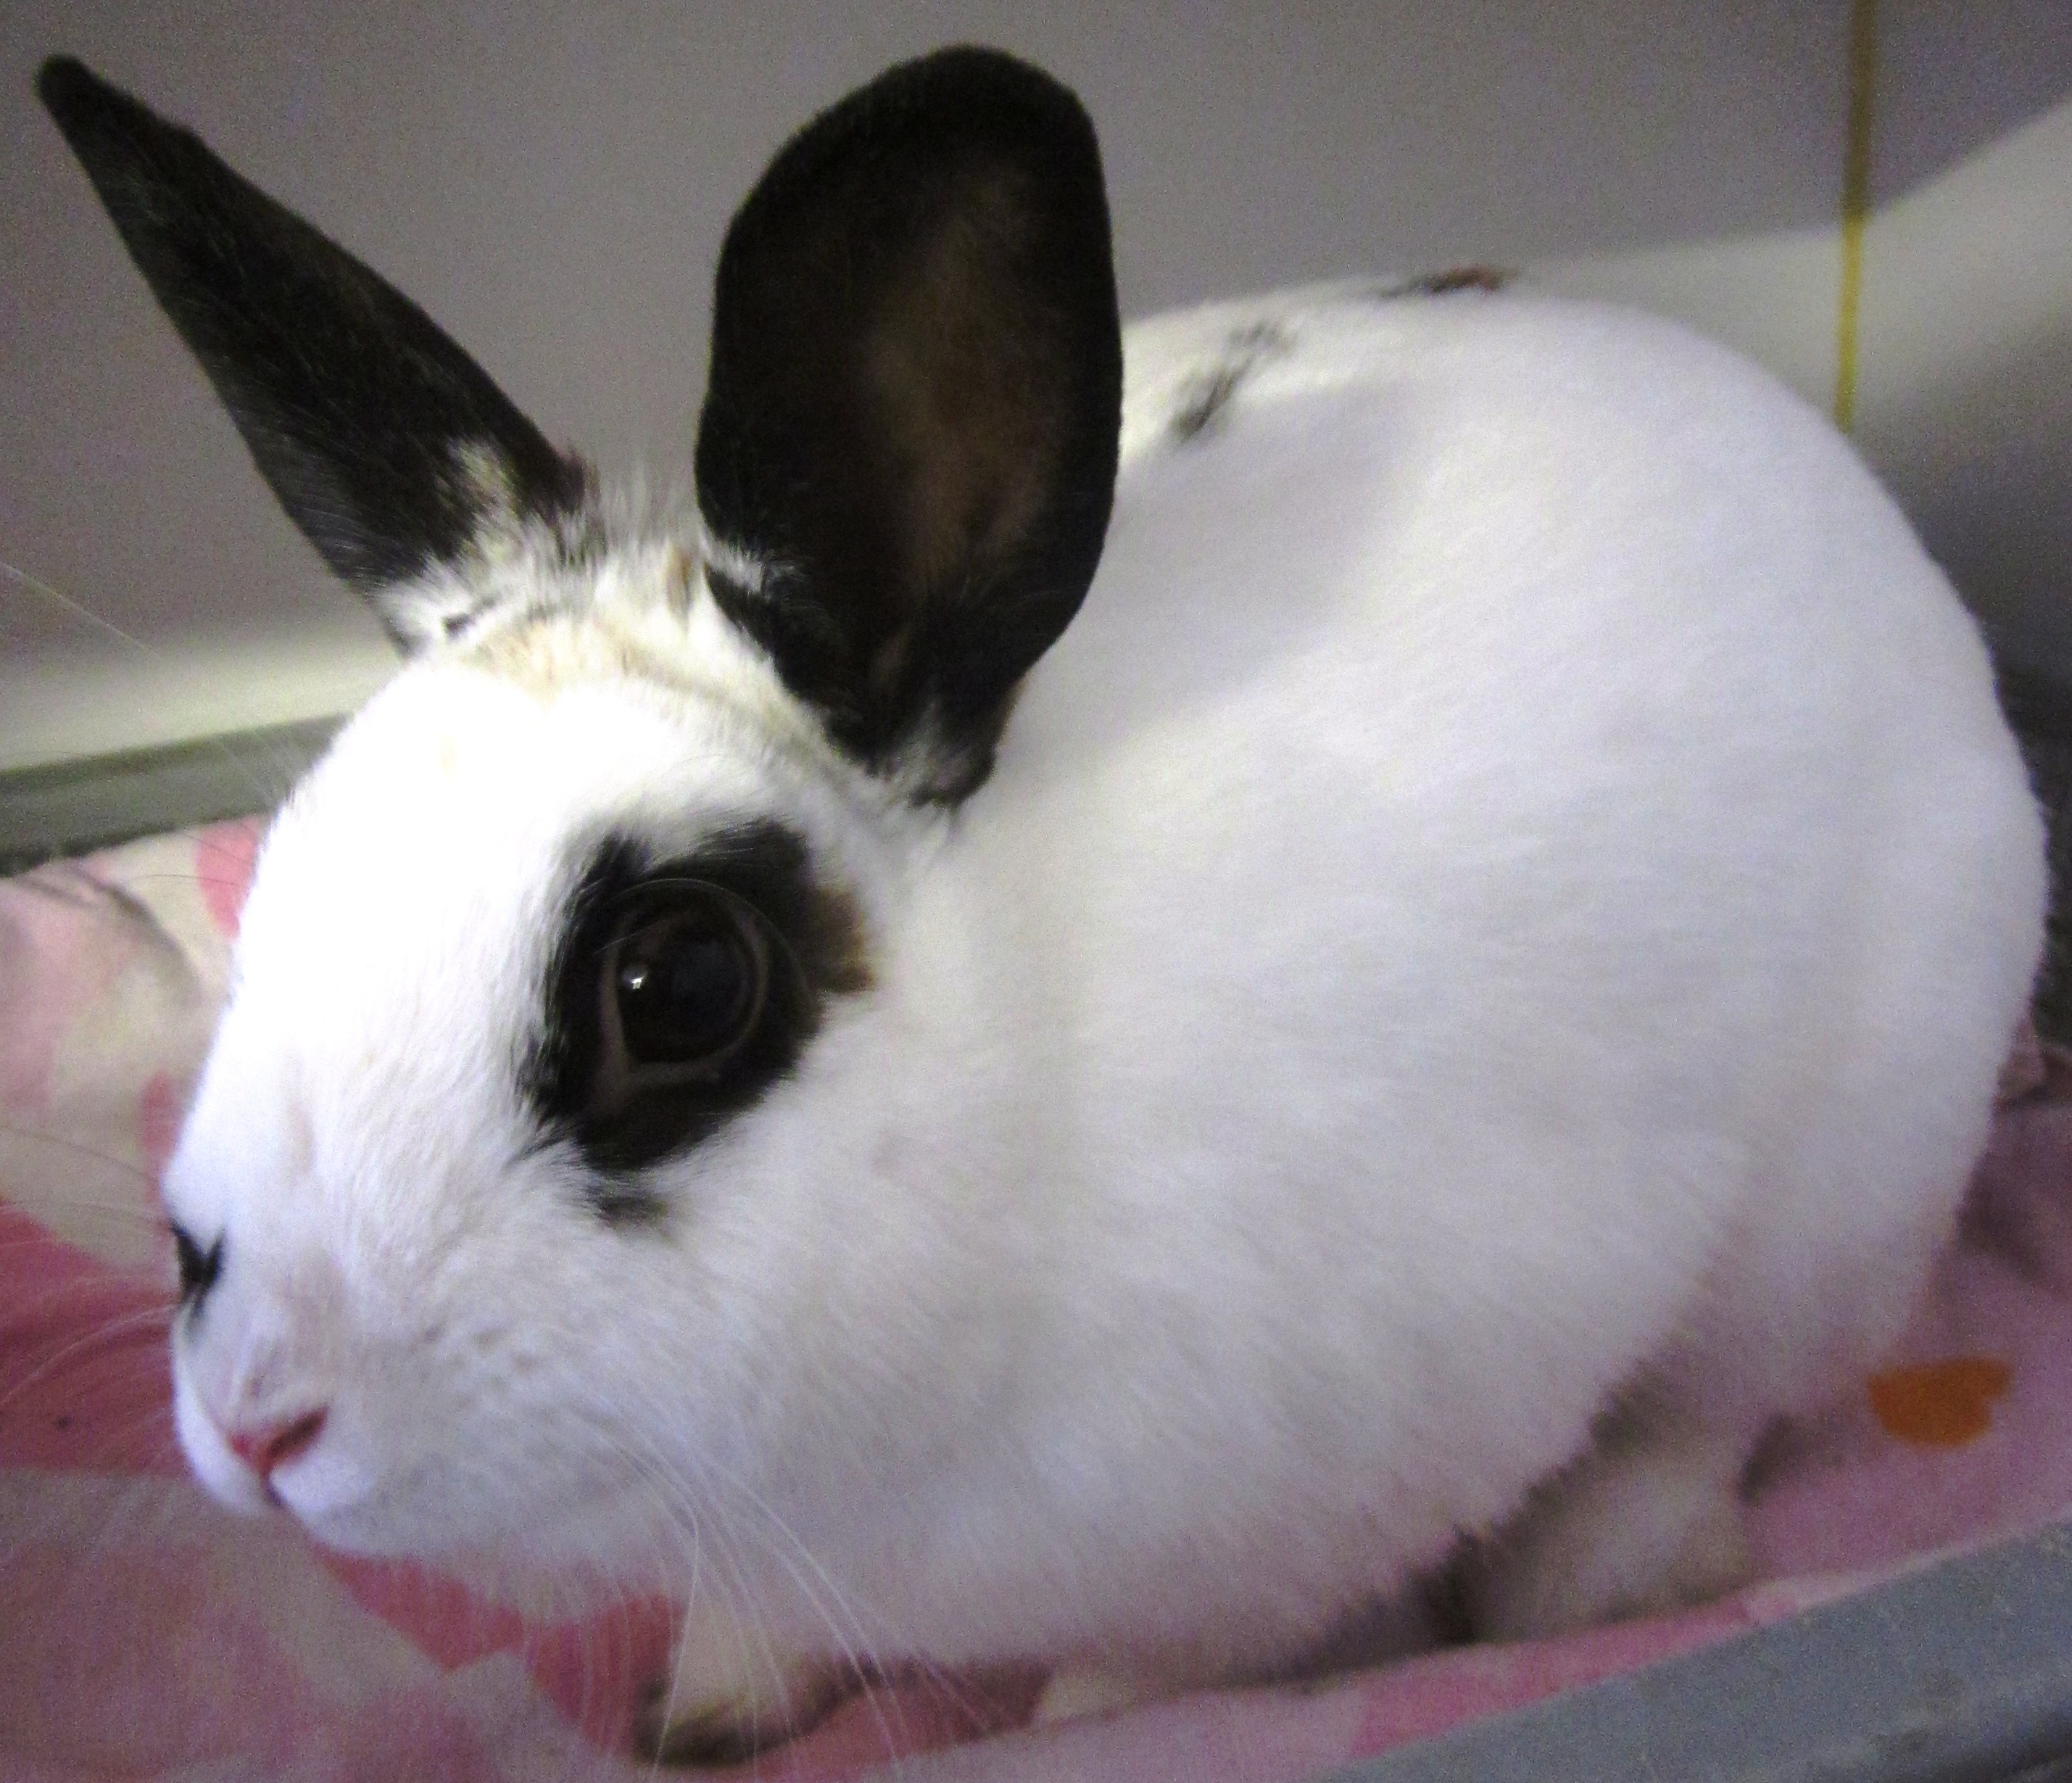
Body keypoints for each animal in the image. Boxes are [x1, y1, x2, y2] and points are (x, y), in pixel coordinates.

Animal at [39, 43, 2047, 1761]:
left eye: (679, 983)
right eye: (282, 871)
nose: (257, 1413)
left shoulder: (1284, 1535)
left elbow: (1144, 1681)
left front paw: (1071, 1727)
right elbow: (760, 1624)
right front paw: (708, 1712)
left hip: (1826, 1215)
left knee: (1695, 1426)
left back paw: (1584, 1584)